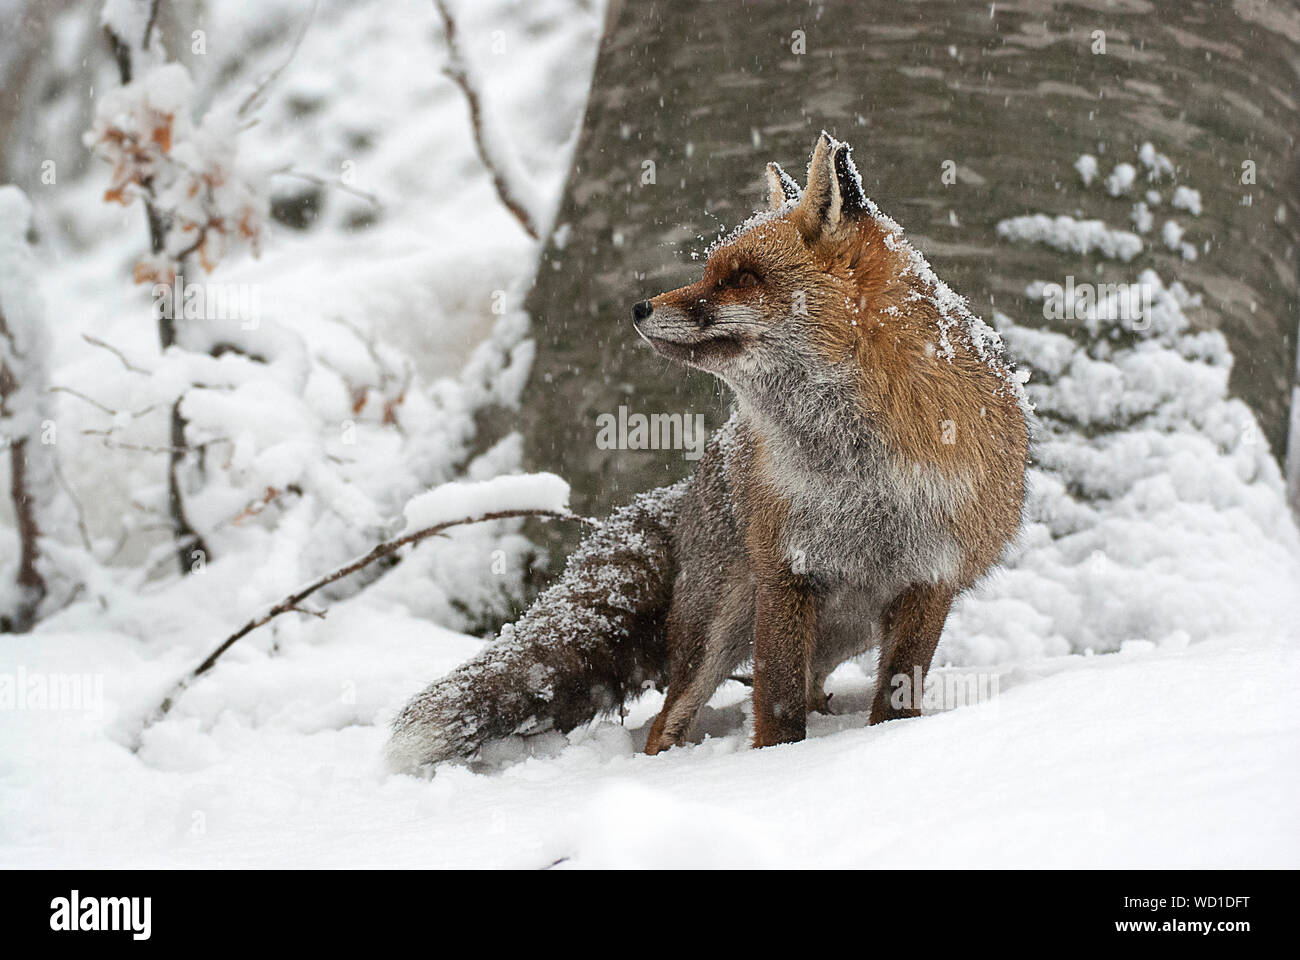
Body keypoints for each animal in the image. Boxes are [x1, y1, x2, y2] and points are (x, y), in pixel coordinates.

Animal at [386, 132, 1029, 771]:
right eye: (709, 271)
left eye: (741, 277)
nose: (639, 308)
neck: (858, 470)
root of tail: (686, 490)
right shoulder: (787, 573)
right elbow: (777, 708)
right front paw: (775, 768)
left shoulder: (930, 580)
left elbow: (894, 700)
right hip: (717, 632)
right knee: (665, 724)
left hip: (842, 629)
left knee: (810, 688)